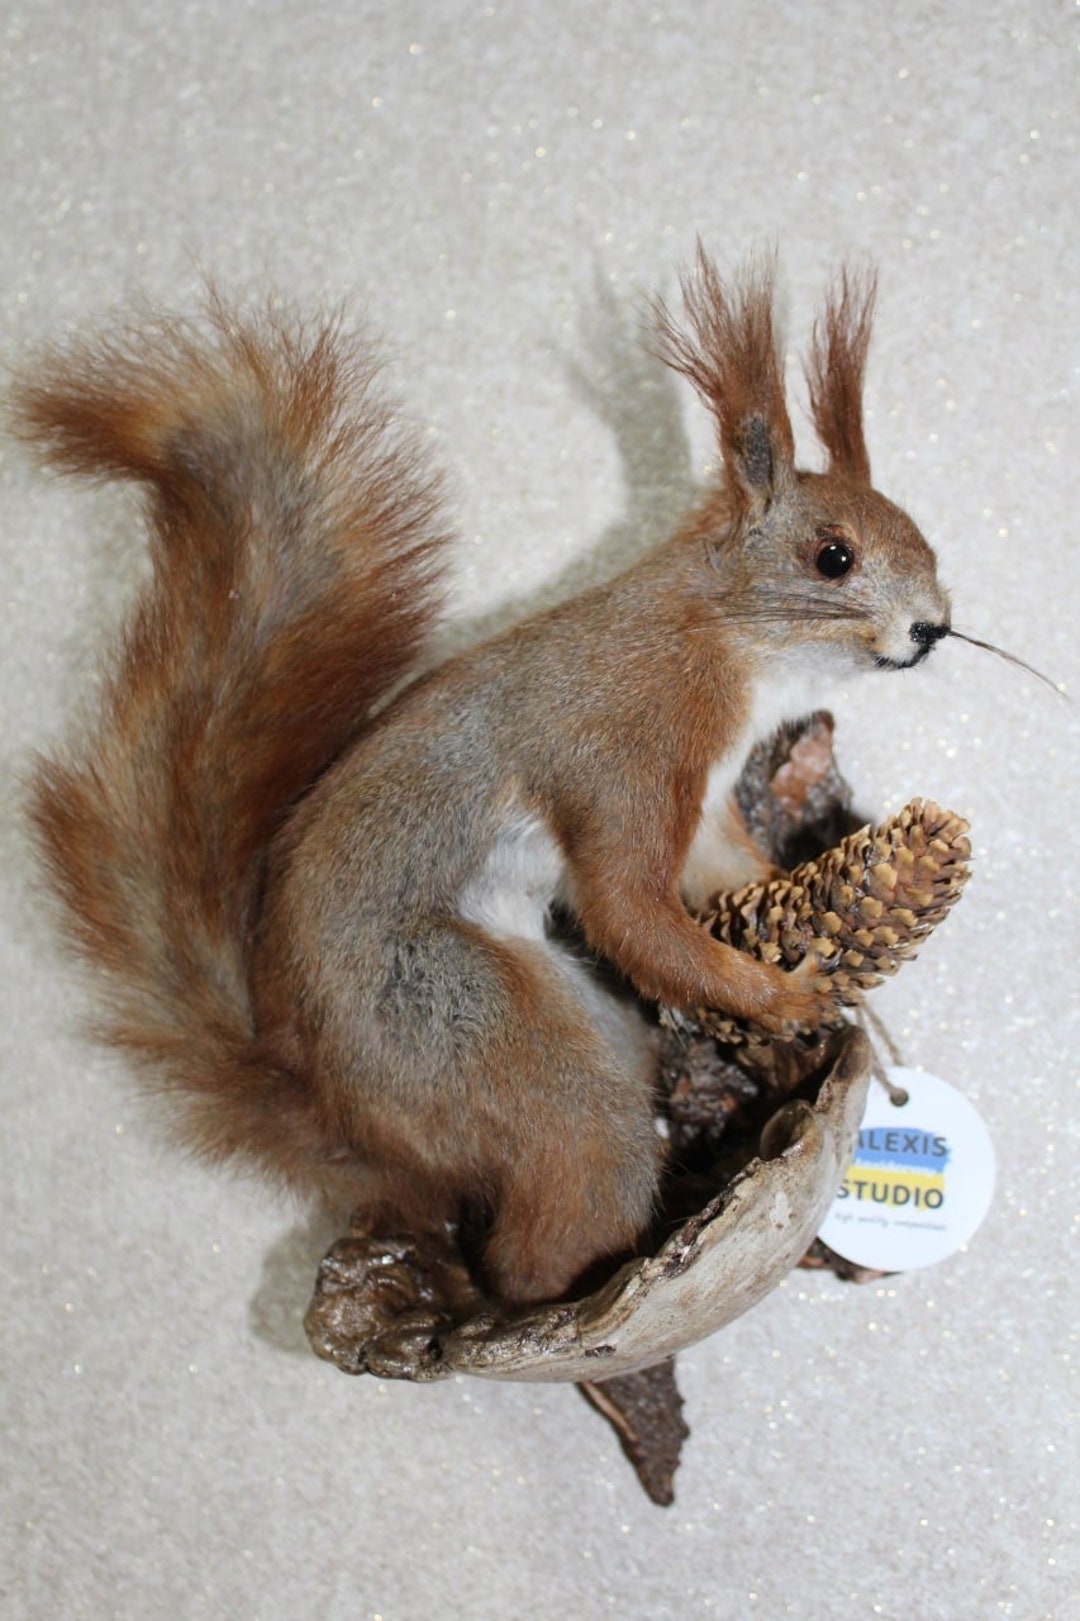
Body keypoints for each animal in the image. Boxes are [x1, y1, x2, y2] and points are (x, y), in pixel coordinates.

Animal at [14, 250, 951, 1306]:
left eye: (921, 532)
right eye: (833, 556)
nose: (934, 626)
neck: (720, 633)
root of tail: (336, 1106)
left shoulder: (706, 795)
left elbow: (721, 869)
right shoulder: (626, 741)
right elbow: (629, 906)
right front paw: (780, 998)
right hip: (456, 1028)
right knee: (559, 1193)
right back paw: (535, 1301)